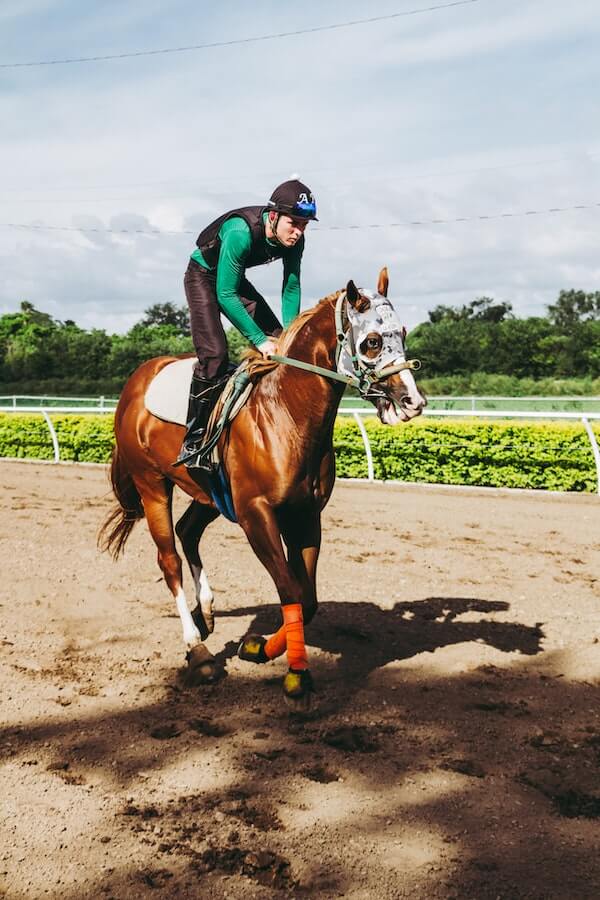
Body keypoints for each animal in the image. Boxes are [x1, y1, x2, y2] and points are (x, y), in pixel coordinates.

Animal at [99, 267, 426, 710]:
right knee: (169, 560)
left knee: (189, 531)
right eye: (372, 341)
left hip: (209, 492)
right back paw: (196, 650)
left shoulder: (305, 513)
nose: (413, 402)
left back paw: (206, 612)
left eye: (403, 332)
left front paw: (258, 647)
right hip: (151, 484)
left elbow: (307, 598)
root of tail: (137, 380)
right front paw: (297, 675)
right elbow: (289, 589)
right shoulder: (256, 513)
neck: (286, 414)